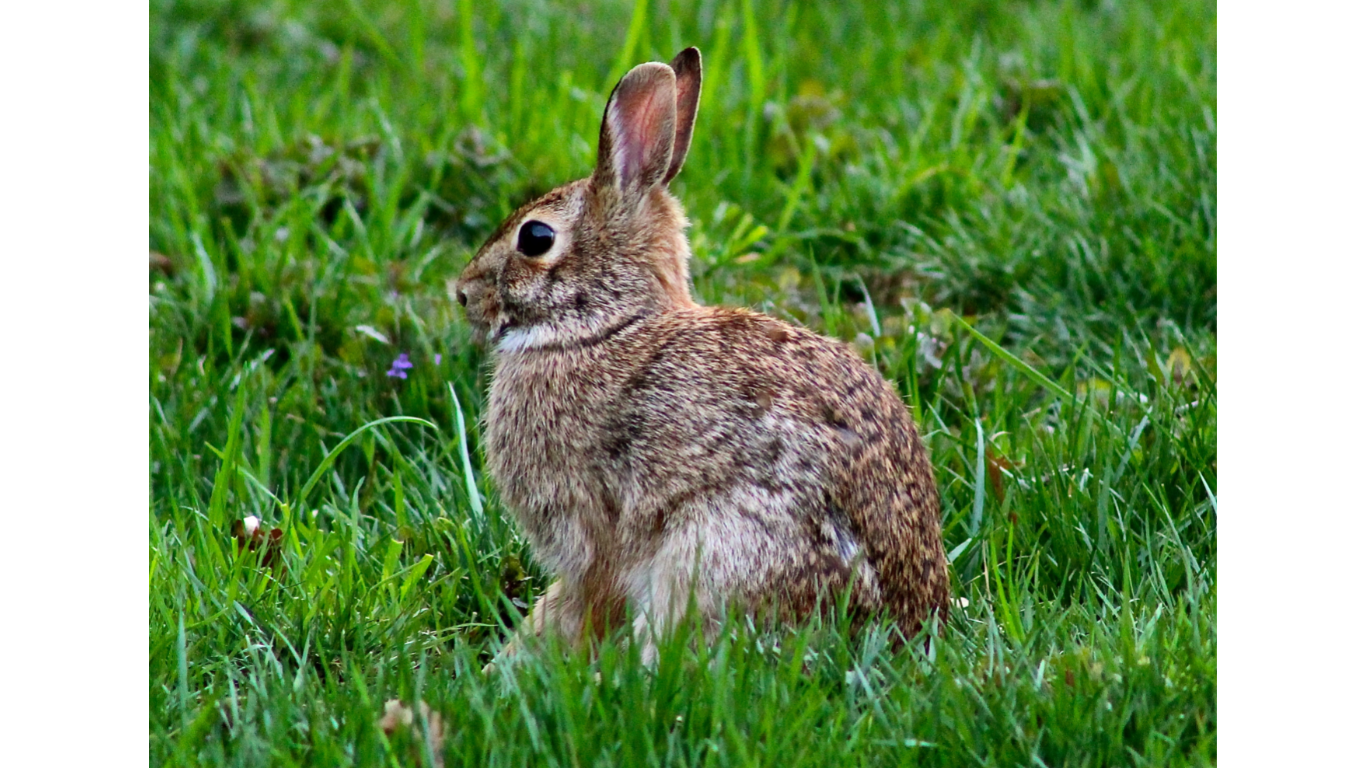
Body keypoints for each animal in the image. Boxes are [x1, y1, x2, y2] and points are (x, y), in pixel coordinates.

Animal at [456, 47, 950, 667]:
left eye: (536, 238)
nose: (462, 293)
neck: (603, 329)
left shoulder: (591, 533)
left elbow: (583, 600)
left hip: (713, 552)